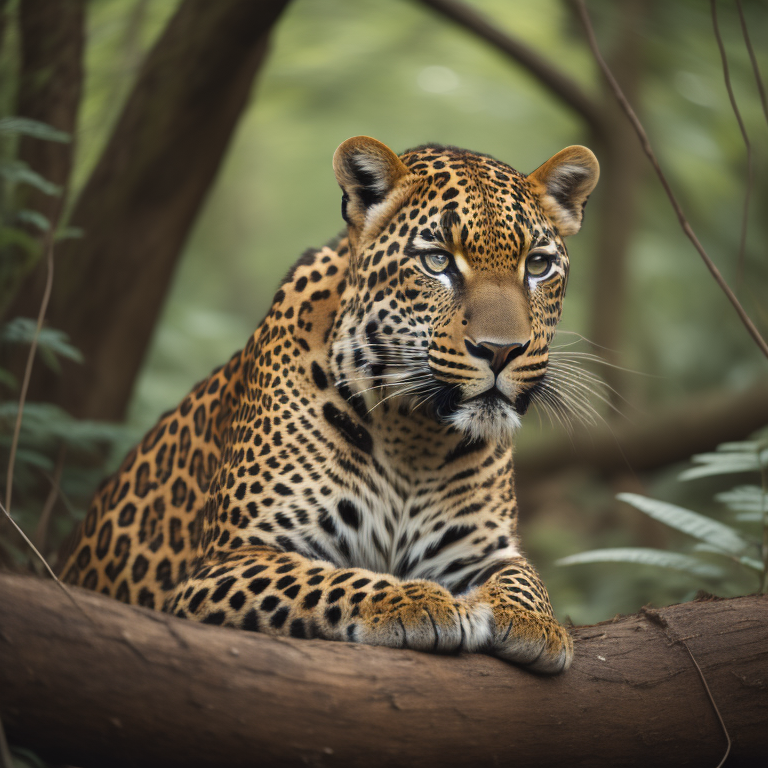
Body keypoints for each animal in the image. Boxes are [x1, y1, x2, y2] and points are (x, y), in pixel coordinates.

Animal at [61, 136, 599, 674]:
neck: (415, 434)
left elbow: (526, 577)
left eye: (537, 266)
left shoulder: (481, 551)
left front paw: (534, 622)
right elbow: (327, 579)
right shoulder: (227, 563)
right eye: (438, 261)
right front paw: (416, 600)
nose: (502, 351)